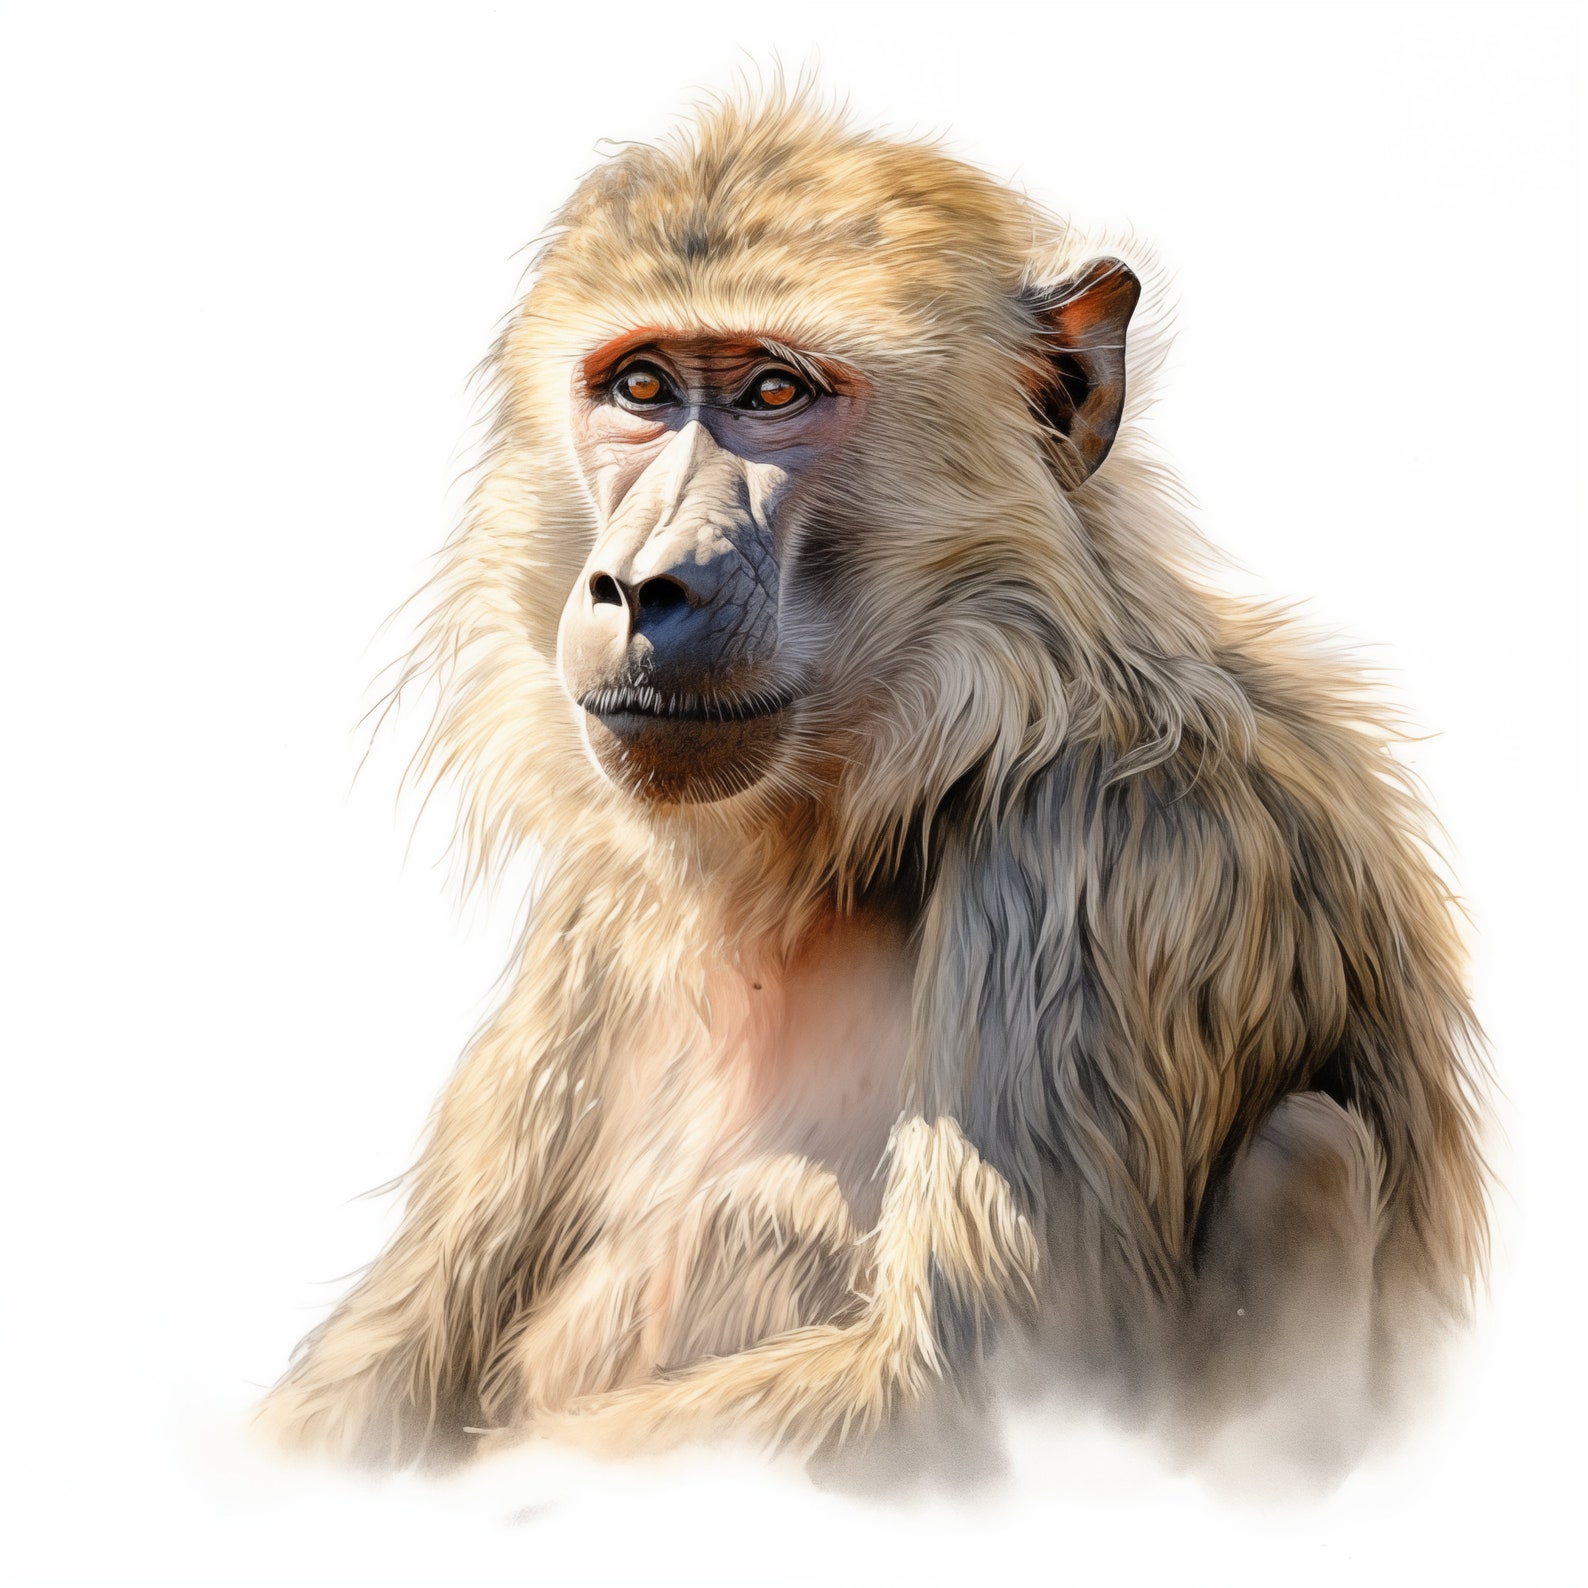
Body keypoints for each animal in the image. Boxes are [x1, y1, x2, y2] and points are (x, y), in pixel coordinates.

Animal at [256, 88, 1489, 1479]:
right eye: (641, 386)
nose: (639, 582)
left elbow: (992, 1378)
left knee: (1298, 1148)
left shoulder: (1103, 850)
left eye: (774, 390)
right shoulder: (598, 919)